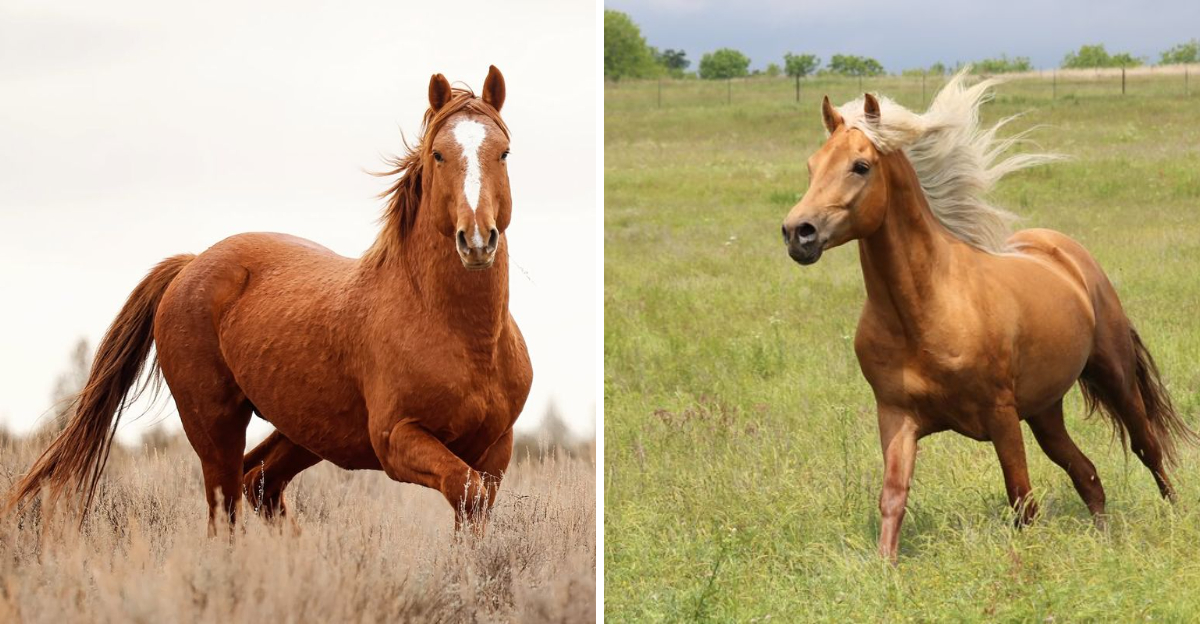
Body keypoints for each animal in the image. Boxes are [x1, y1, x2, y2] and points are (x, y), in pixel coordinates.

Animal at [6, 66, 533, 535]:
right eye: (440, 155)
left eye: (504, 153)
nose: (477, 240)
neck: (460, 335)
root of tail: (191, 264)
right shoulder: (397, 438)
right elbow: (465, 490)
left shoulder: (495, 450)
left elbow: (473, 508)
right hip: (215, 425)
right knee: (226, 506)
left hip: (304, 431)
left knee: (258, 482)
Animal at [779, 71, 1196, 561]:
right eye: (812, 166)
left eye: (860, 166)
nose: (798, 233)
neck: (925, 310)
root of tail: (1067, 252)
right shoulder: (896, 417)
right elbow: (893, 498)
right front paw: (885, 568)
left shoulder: (1000, 414)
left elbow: (1022, 499)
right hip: (1044, 412)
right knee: (1088, 474)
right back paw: (1104, 542)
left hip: (1114, 376)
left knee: (1149, 448)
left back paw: (1176, 520)